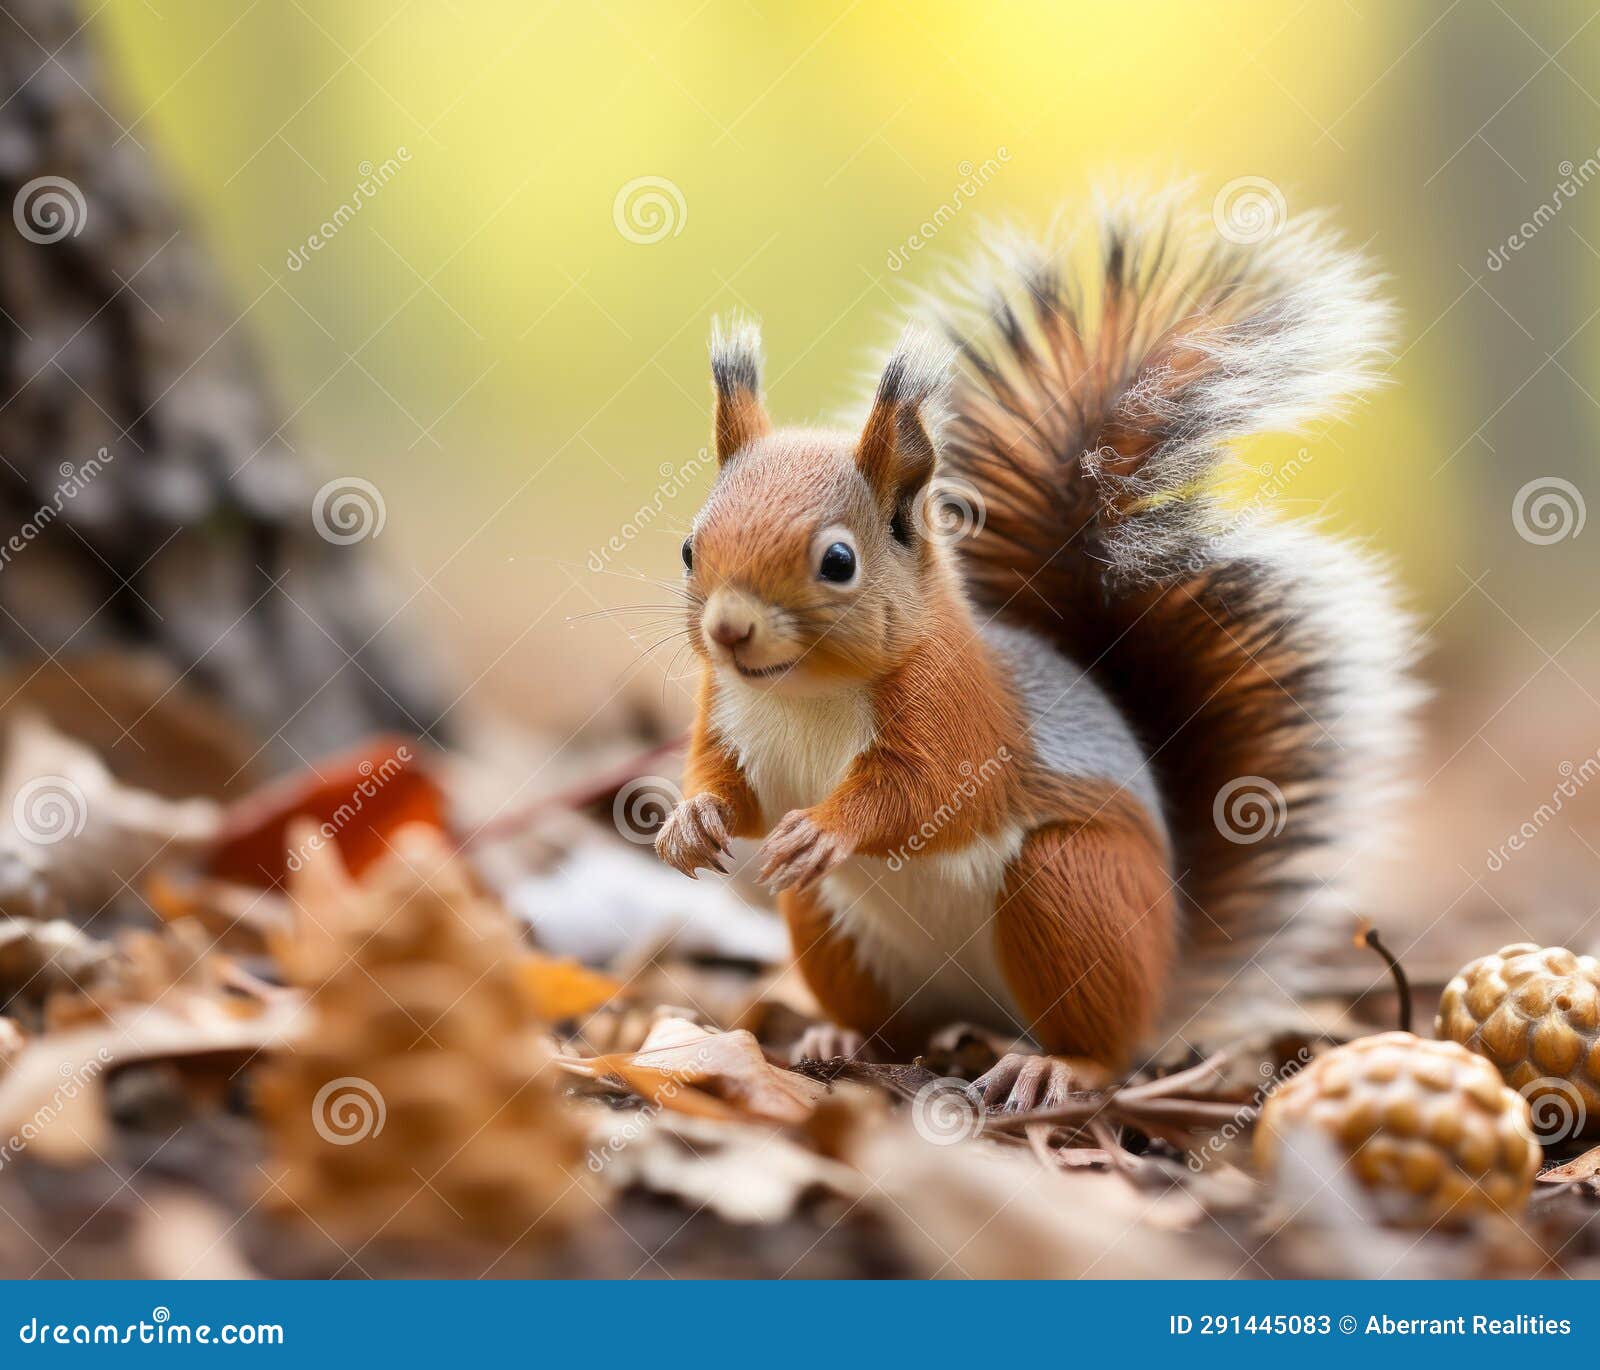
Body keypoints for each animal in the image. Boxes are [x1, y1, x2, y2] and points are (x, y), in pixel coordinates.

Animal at [653, 189, 1420, 1110]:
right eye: (689, 547)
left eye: (837, 561)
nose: (728, 629)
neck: (802, 694)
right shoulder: (723, 709)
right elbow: (730, 786)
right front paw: (690, 822)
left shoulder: (955, 716)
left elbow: (918, 795)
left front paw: (826, 829)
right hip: (833, 926)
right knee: (895, 1026)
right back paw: (841, 1035)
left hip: (1071, 886)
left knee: (1102, 1040)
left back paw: (1054, 1064)